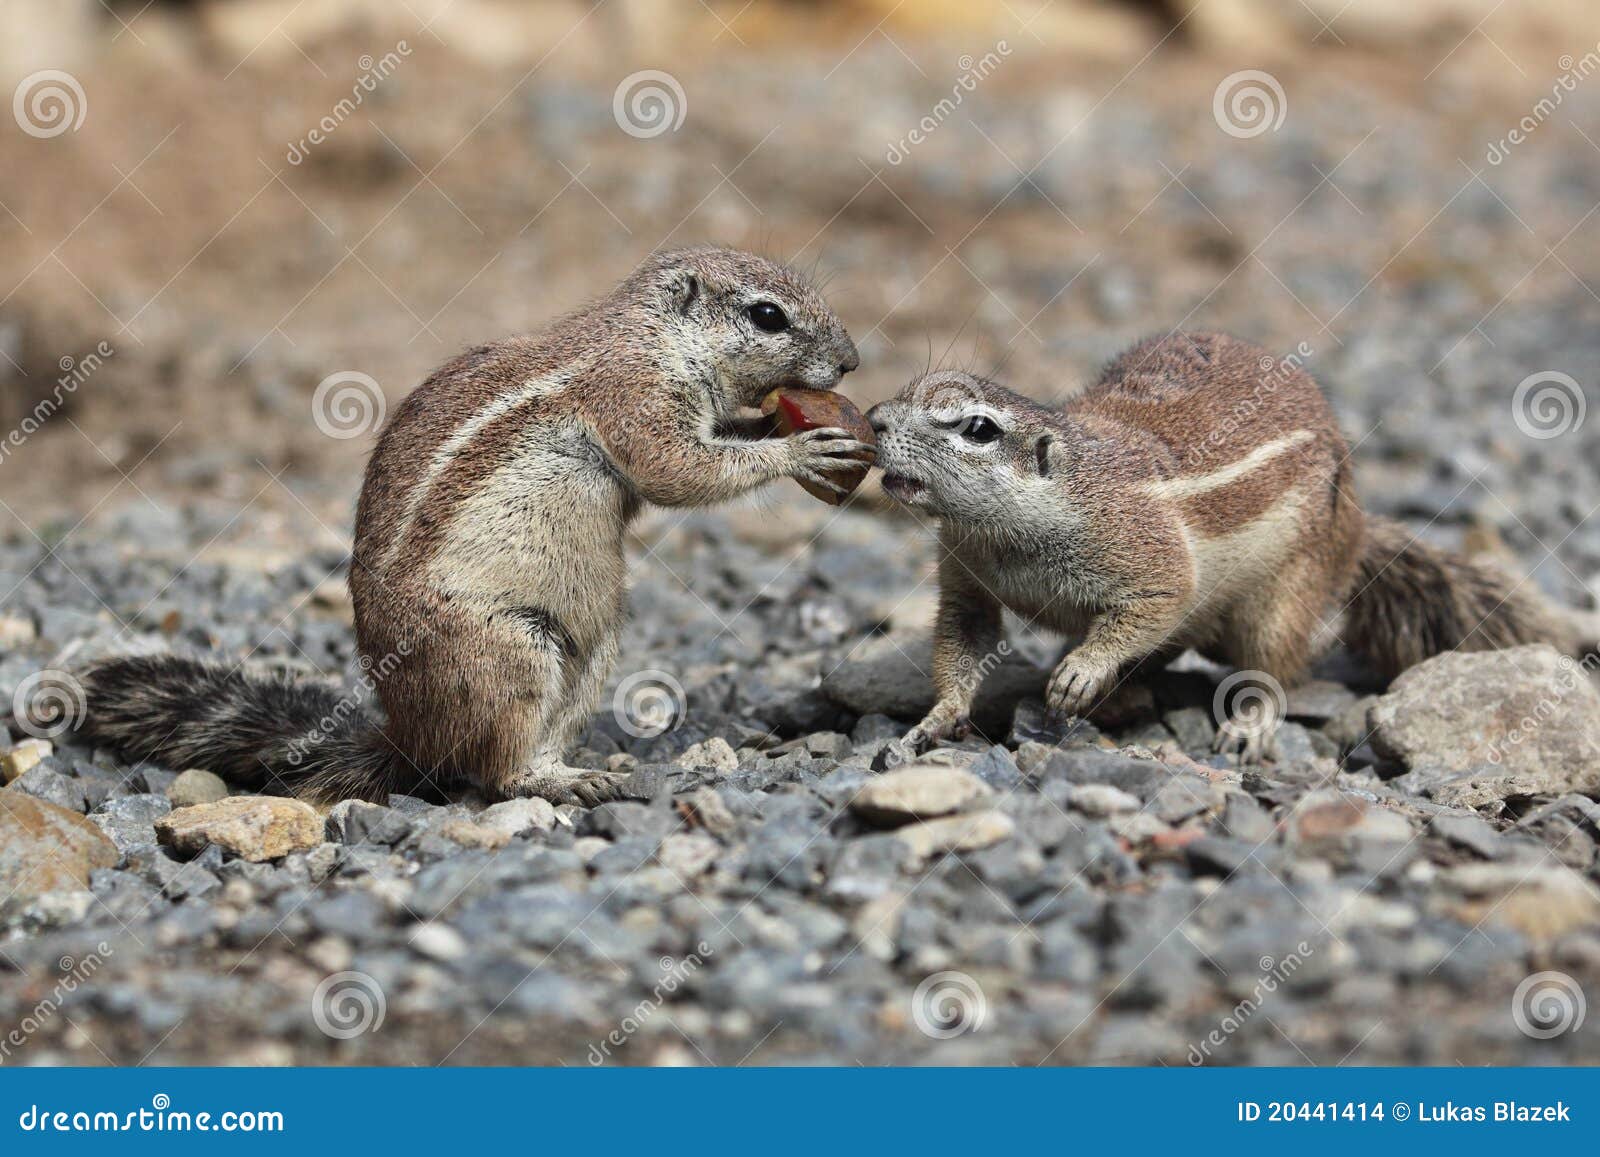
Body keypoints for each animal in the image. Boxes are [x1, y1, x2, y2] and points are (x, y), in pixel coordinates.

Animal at [79, 247, 867, 805]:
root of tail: (408, 737)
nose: (853, 359)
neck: (654, 335)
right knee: (493, 771)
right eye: (768, 316)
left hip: (592, 647)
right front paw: (799, 448)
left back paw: (579, 771)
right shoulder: (632, 397)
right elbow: (678, 471)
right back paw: (551, 782)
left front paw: (781, 426)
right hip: (505, 652)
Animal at [867, 331, 1591, 760]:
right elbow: (964, 640)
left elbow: (1157, 599)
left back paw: (1245, 722)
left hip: (1286, 594)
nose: (871, 419)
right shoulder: (965, 572)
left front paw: (1080, 673)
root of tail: (1357, 531)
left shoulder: (1147, 551)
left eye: (977, 428)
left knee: (1273, 666)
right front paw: (936, 719)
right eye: (902, 392)